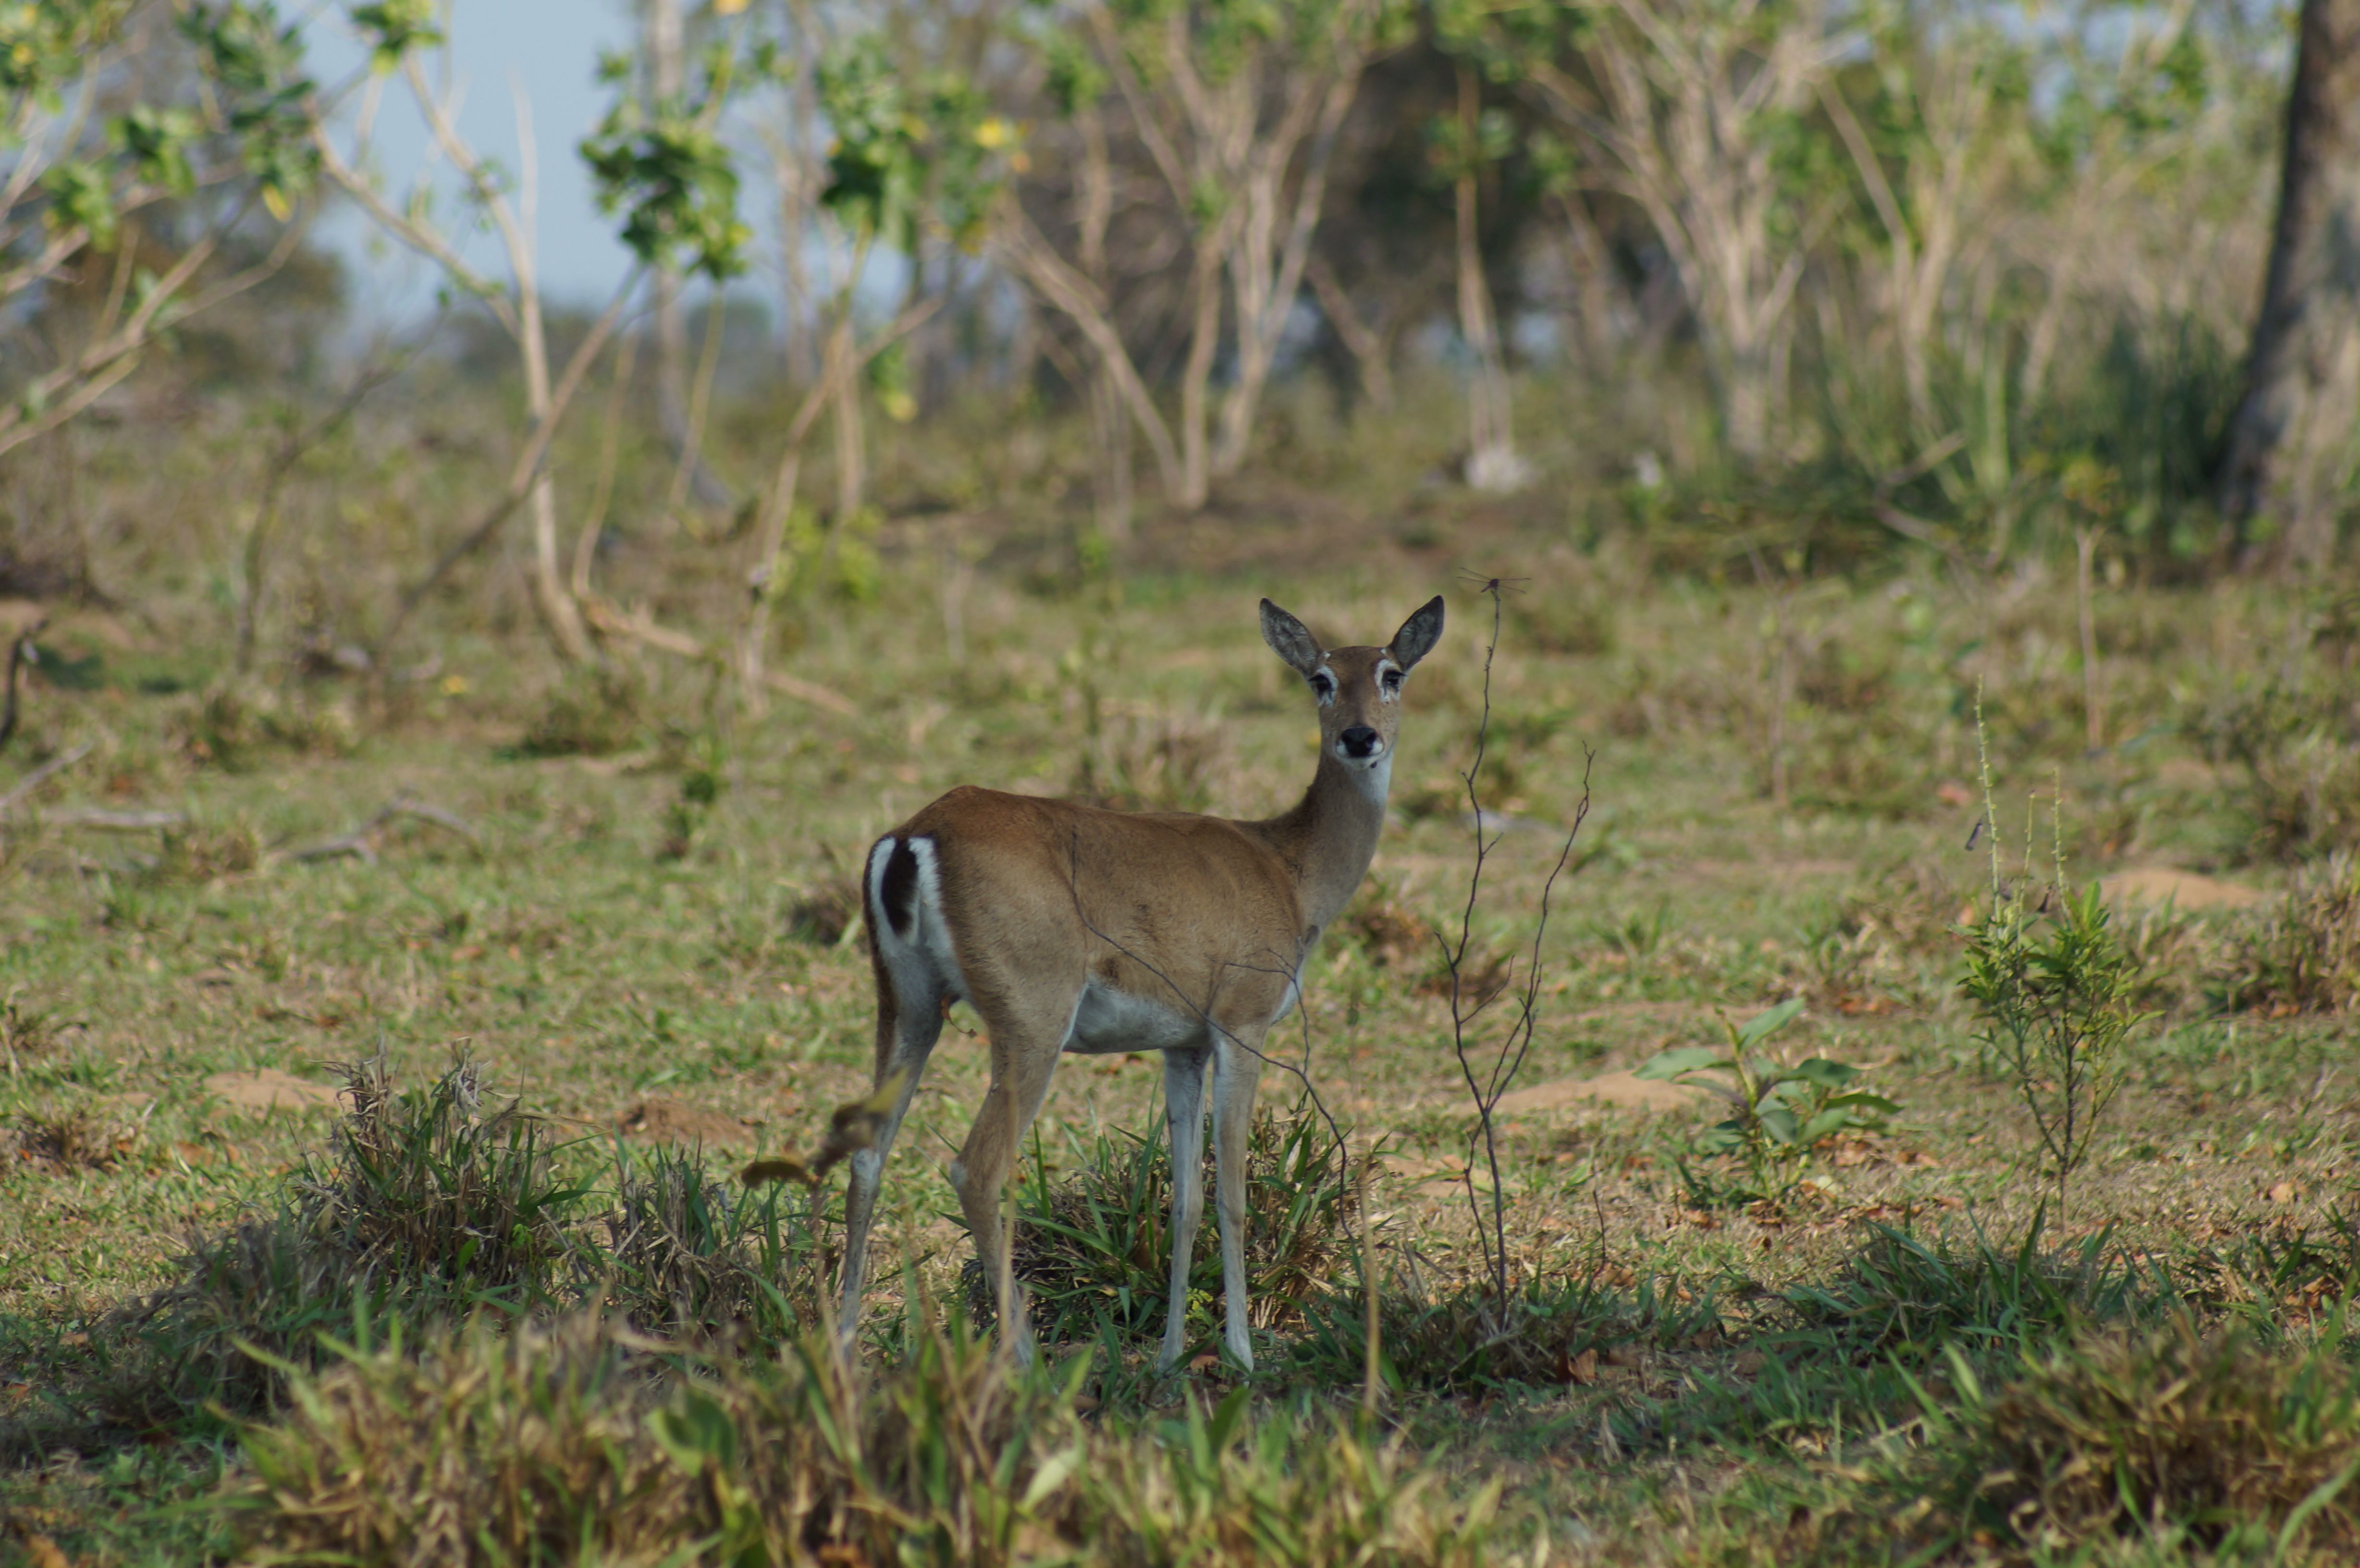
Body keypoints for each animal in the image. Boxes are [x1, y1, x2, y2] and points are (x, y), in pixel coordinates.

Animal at [837, 595, 1445, 1372]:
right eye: (1321, 678)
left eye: (1392, 672)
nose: (1360, 737)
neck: (1292, 870)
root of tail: (913, 838)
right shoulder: (1241, 1021)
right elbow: (1232, 1191)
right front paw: (1242, 1355)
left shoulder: (1180, 1045)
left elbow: (1184, 1200)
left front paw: (1171, 1357)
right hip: (1031, 1016)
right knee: (977, 1168)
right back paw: (1026, 1362)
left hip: (907, 1006)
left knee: (866, 1154)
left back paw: (842, 1351)